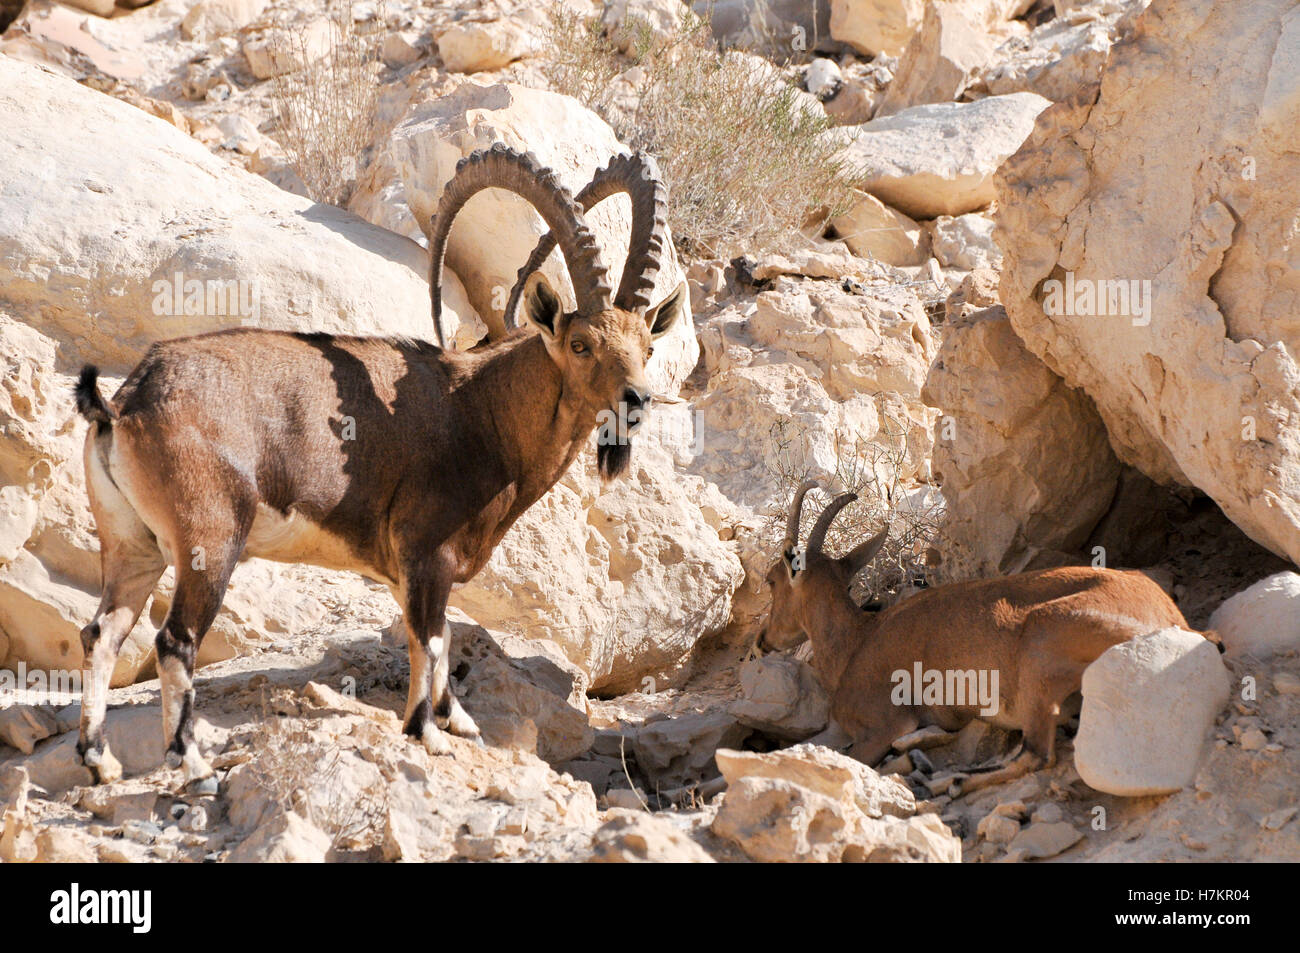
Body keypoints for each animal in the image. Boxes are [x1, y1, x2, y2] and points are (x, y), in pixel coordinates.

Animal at [73, 144, 687, 791]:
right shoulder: (426, 551)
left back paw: (101, 760)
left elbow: (432, 637)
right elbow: (432, 640)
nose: (636, 401)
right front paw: (427, 732)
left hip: (132, 543)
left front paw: (455, 719)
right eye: (580, 344)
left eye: (647, 347)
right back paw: (190, 759)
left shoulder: (403, 569)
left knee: (102, 633)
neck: (482, 412)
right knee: (175, 640)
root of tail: (125, 401)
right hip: (209, 539)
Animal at [760, 482, 1214, 794]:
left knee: (1035, 754)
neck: (856, 641)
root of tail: (1173, 619)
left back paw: (948, 780)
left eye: (770, 579)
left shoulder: (882, 725)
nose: (764, 639)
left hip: (1041, 650)